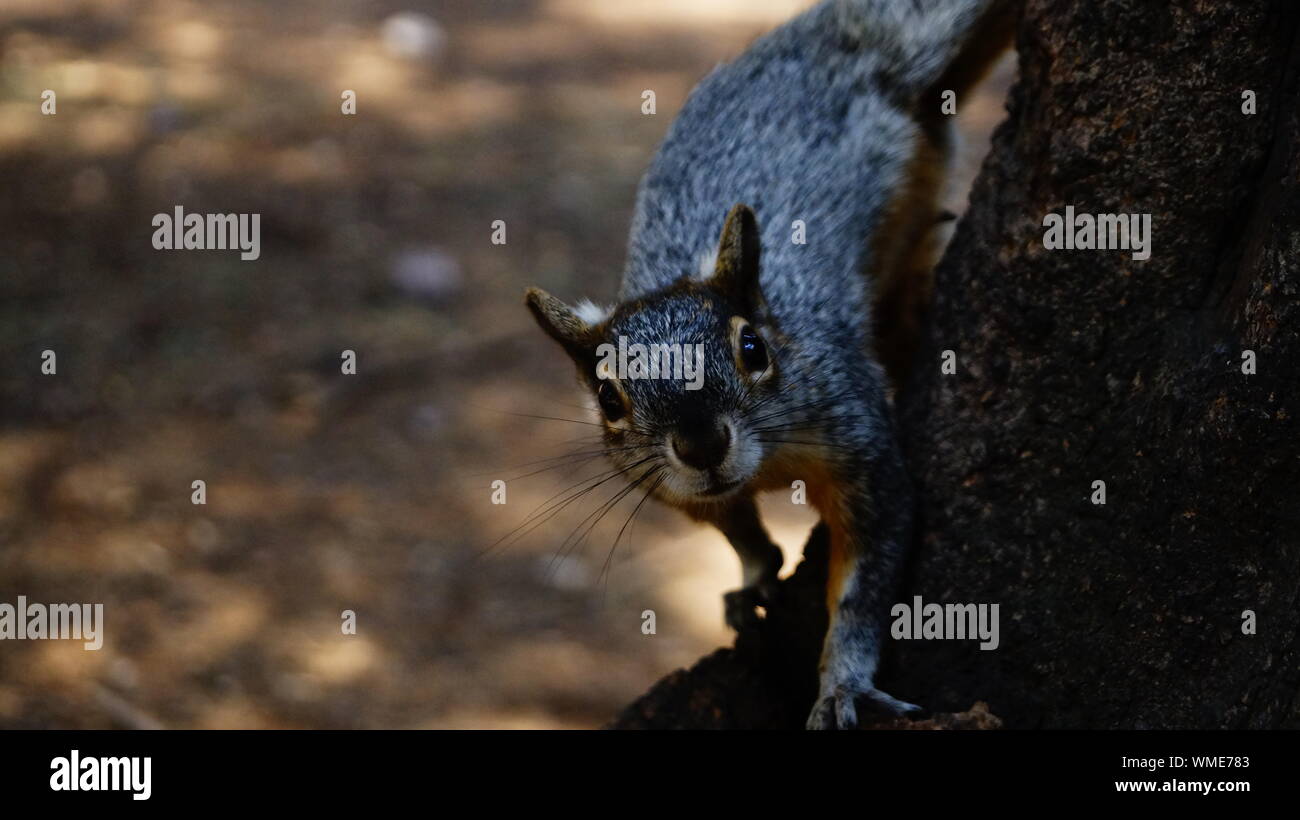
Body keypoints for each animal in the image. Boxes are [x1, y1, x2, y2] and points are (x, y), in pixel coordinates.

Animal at [524, 0, 1014, 729]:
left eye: (753, 348)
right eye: (609, 400)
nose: (702, 445)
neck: (766, 465)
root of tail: (814, 43)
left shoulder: (855, 436)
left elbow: (869, 567)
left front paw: (841, 681)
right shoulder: (670, 486)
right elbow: (736, 530)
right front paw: (754, 576)